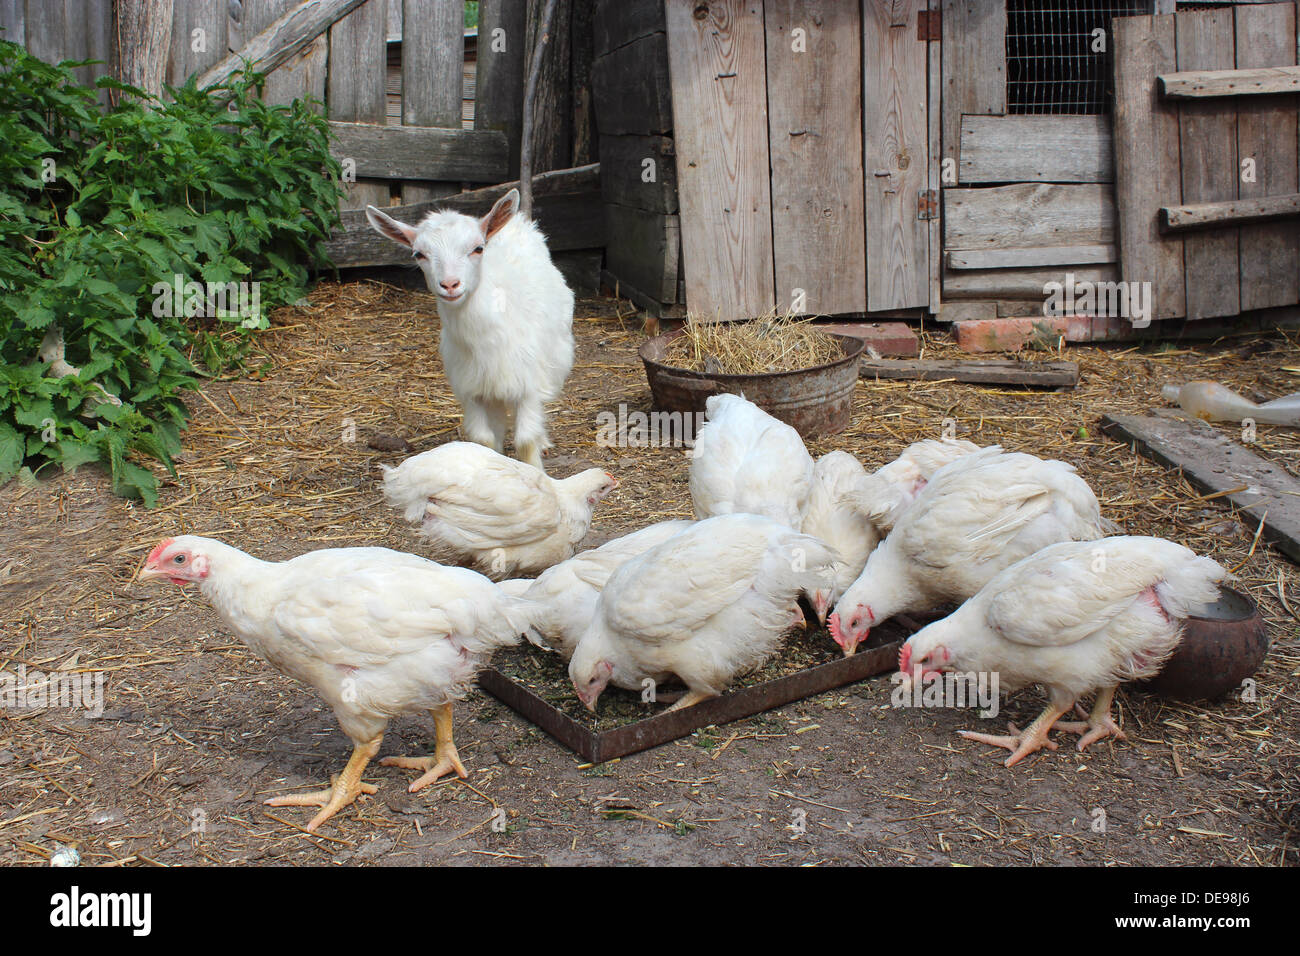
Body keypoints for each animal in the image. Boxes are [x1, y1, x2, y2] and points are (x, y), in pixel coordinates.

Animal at [365, 189, 575, 470]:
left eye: (477, 248)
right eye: (418, 254)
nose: (450, 284)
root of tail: (519, 222)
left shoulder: (528, 384)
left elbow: (526, 440)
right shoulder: (472, 389)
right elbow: (483, 440)